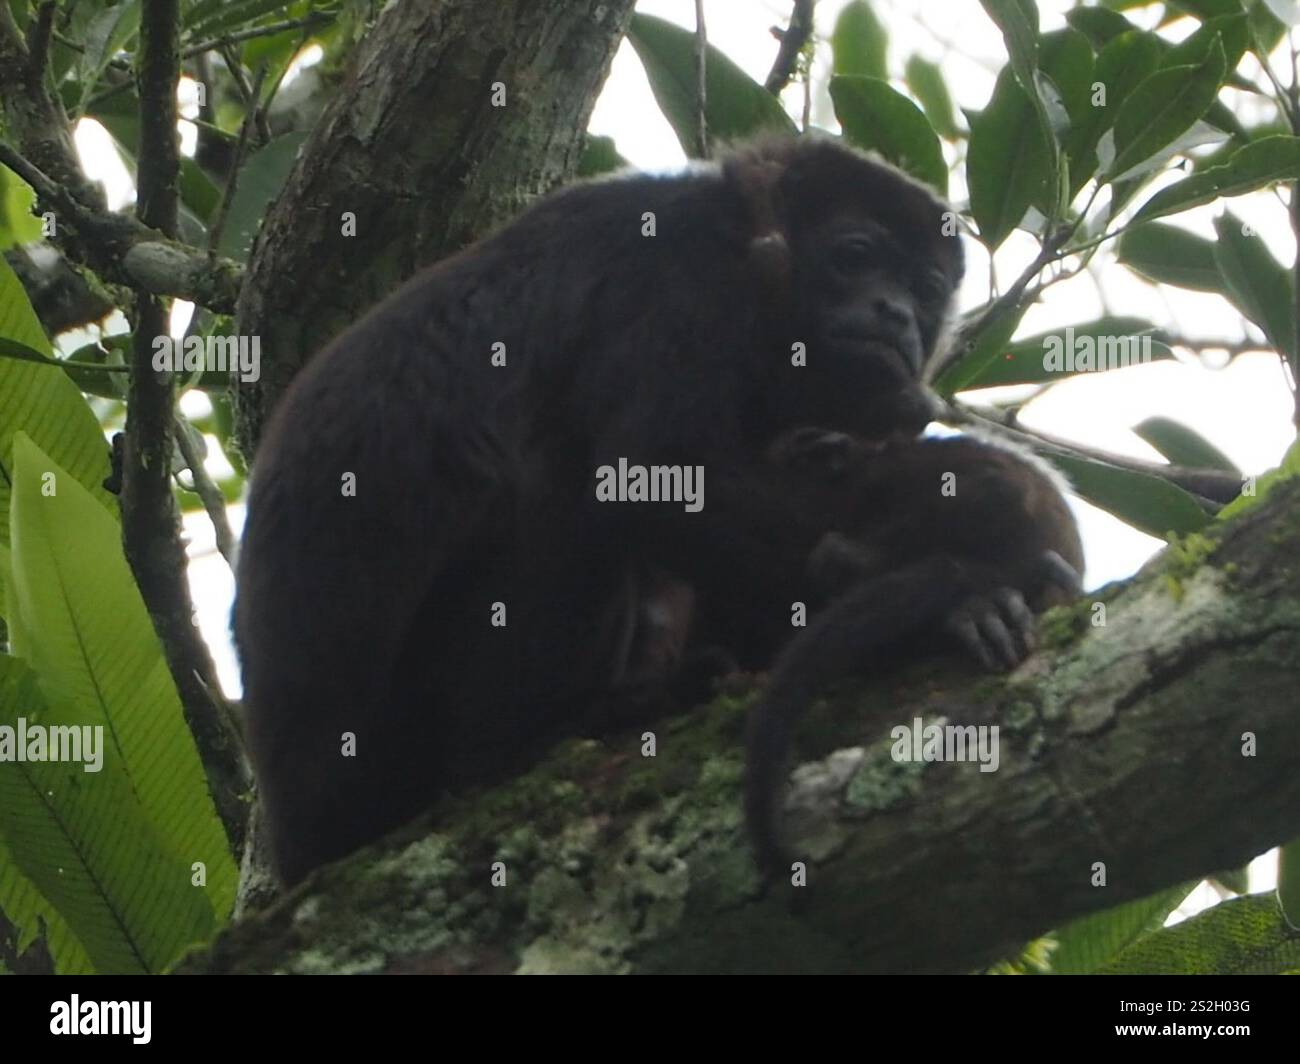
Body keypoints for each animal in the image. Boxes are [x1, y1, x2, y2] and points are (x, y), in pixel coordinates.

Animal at [235, 135, 971, 885]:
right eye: (854, 255)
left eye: (926, 291)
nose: (897, 315)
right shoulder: (675, 275)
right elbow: (659, 479)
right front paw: (977, 556)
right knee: (562, 485)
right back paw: (543, 736)